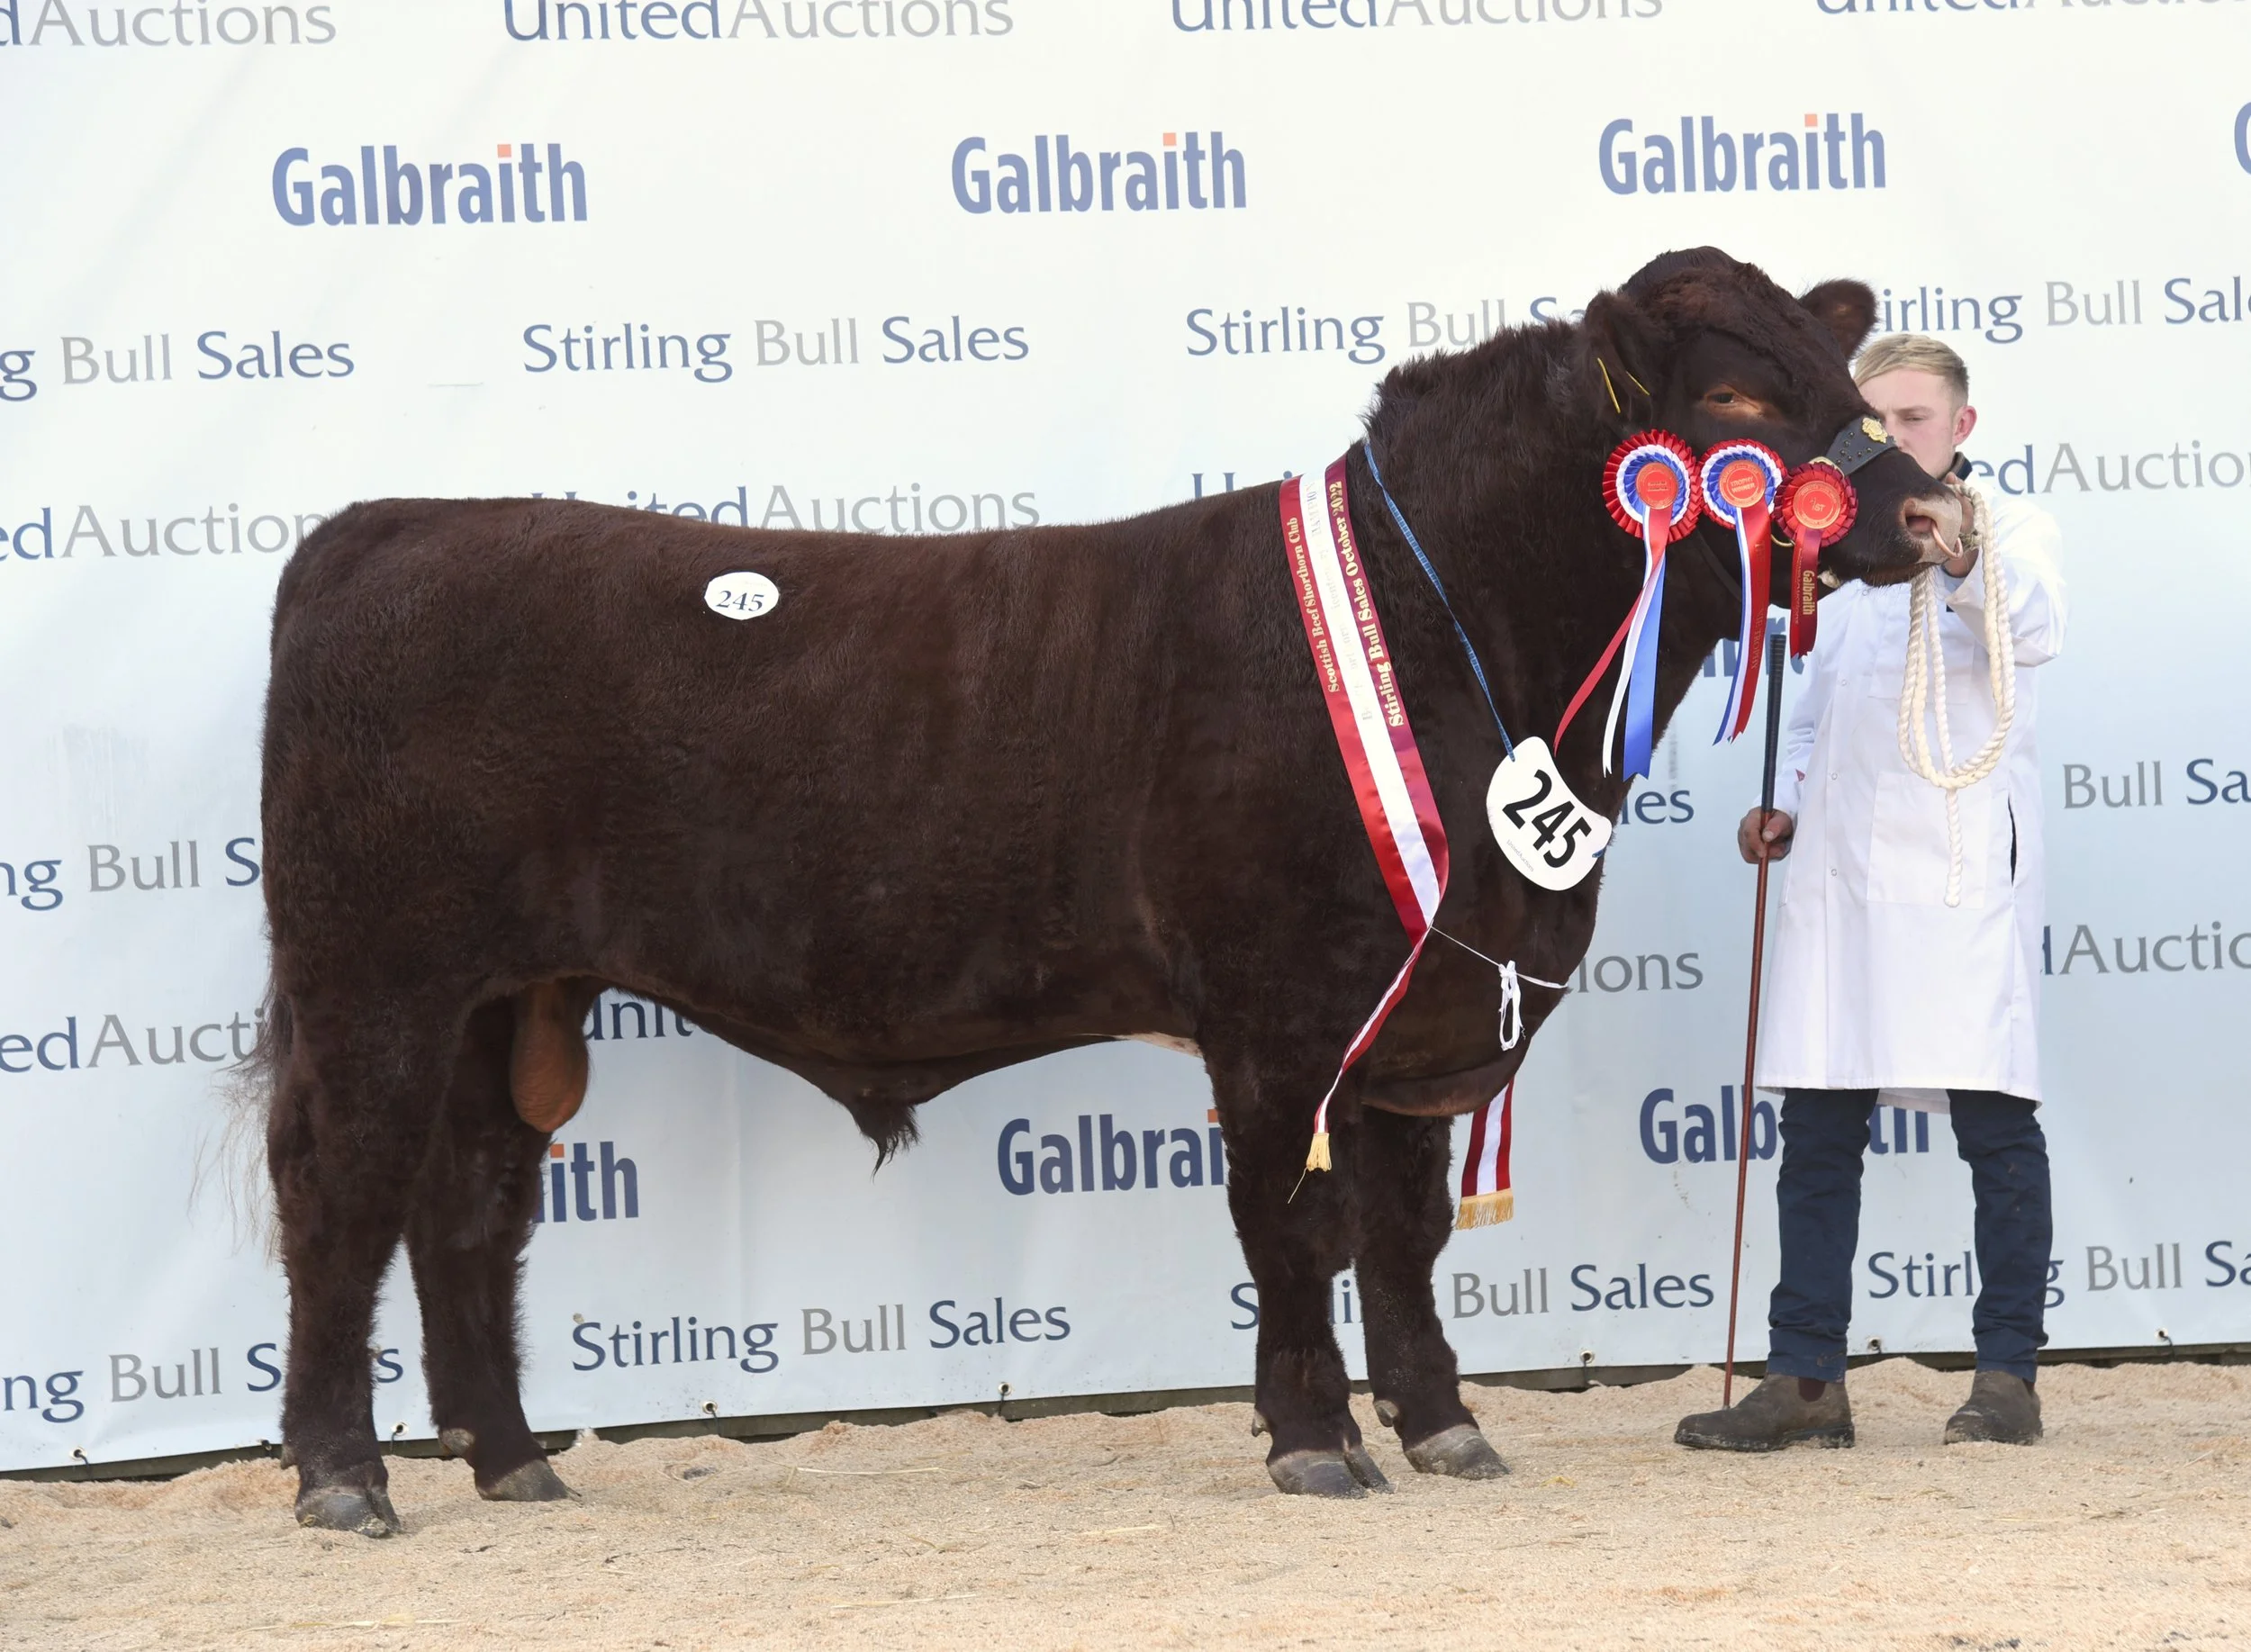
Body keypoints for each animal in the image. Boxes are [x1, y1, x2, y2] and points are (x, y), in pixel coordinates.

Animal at [246, 247, 1961, 1535]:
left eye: (1836, 378)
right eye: (1736, 402)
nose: (1930, 511)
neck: (1452, 641)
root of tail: (379, 528)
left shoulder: (1422, 999)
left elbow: (1406, 1230)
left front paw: (1444, 1426)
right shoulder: (1283, 1006)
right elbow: (1298, 1223)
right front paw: (1314, 1438)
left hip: (504, 995)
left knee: (470, 1208)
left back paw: (513, 1462)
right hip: (374, 976)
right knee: (343, 1192)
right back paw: (340, 1477)